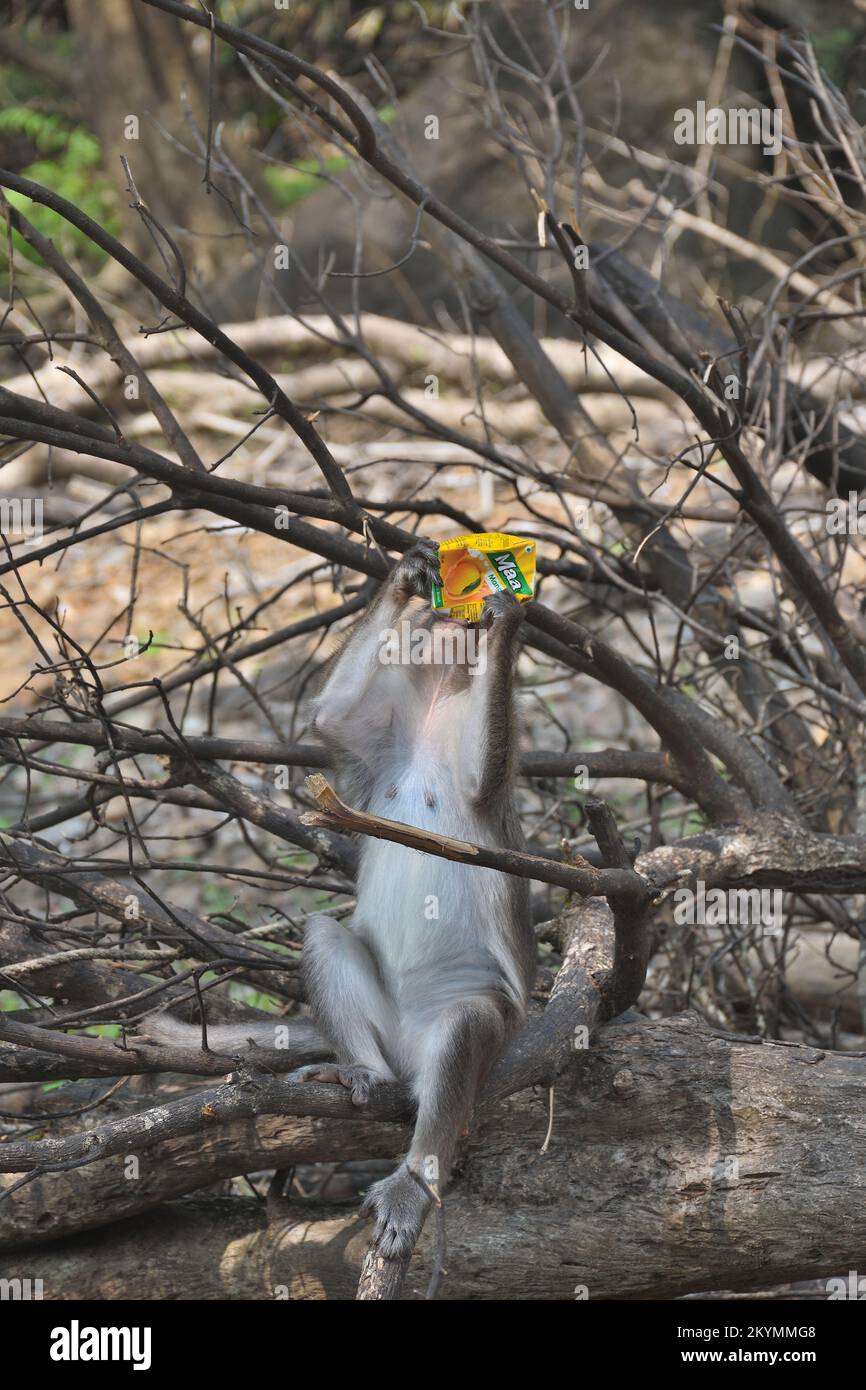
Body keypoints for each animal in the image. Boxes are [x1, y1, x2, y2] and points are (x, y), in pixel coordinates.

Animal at [147, 541, 534, 1258]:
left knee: (466, 1028)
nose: (448, 618)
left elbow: (481, 775)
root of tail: (405, 1049)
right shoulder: (377, 752)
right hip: (382, 1030)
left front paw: (507, 622)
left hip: (477, 1024)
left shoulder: (481, 785)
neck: (434, 716)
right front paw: (405, 576)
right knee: (325, 935)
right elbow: (331, 719)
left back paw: (416, 1177)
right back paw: (361, 1072)